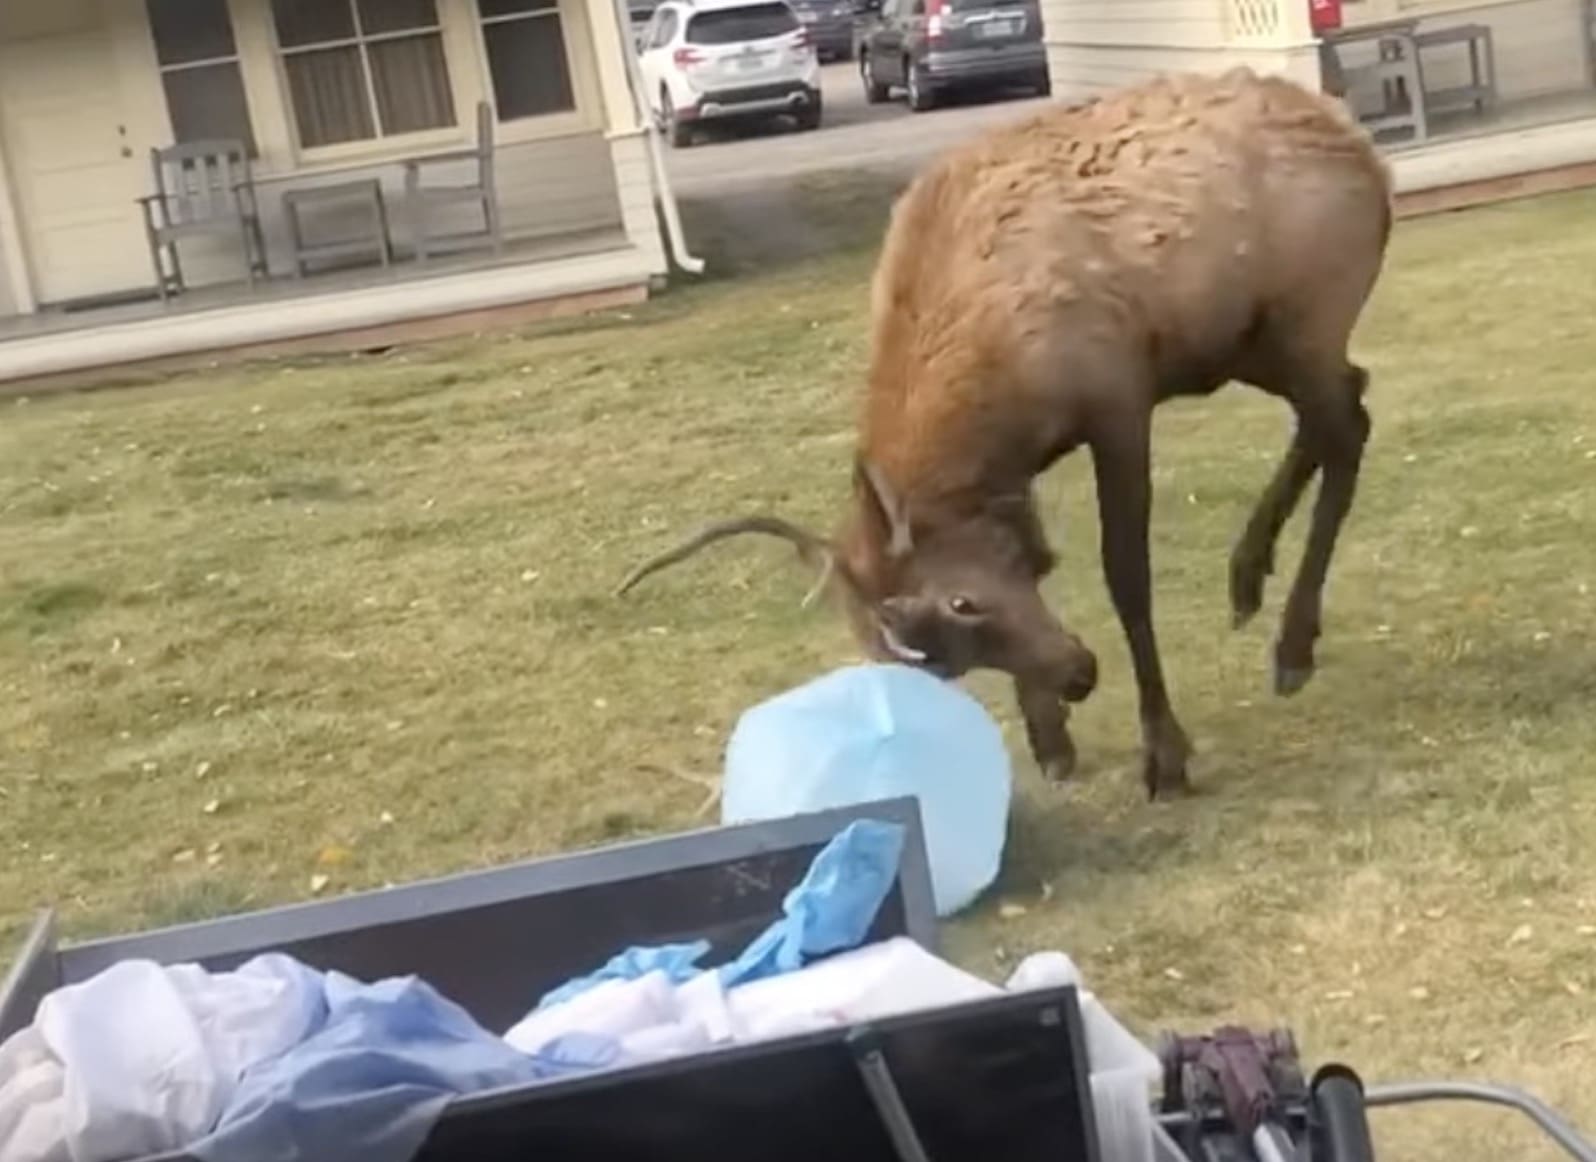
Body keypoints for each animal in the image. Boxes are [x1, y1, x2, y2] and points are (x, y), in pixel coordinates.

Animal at [615, 66, 1395, 801]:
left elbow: (1125, 574)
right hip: (1245, 347)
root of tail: (1365, 151)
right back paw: (1248, 579)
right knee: (1346, 404)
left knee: (1345, 423)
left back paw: (1290, 644)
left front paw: (1163, 753)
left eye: (962, 602)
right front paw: (1052, 739)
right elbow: (1039, 552)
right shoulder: (1017, 469)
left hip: (1302, 320)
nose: (1079, 674)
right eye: (945, 662)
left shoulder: (1117, 402)